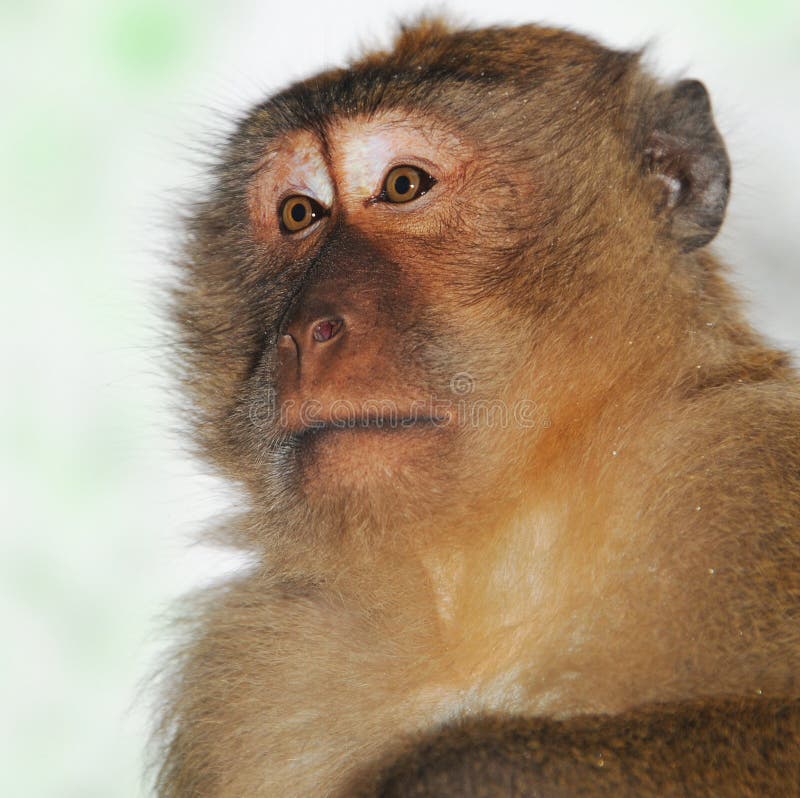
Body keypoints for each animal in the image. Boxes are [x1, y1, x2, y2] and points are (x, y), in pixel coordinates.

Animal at [153, 17, 800, 798]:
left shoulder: (747, 465)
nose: (306, 331)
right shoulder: (244, 681)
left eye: (403, 186)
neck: (478, 566)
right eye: (298, 213)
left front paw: (455, 771)